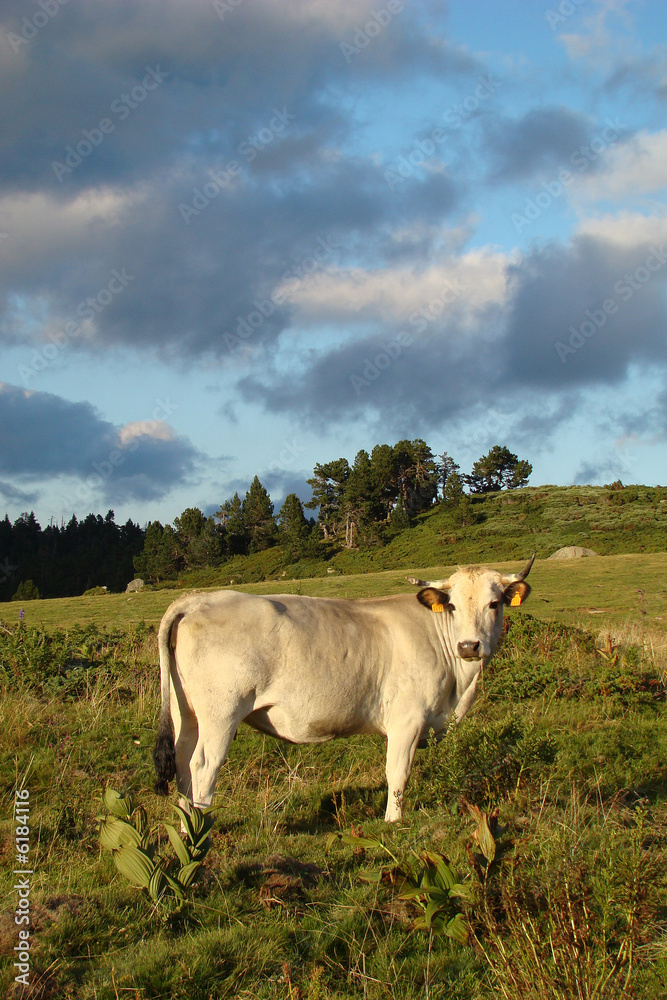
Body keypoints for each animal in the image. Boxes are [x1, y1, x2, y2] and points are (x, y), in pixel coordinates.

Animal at [153, 555, 534, 822]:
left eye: (494, 603)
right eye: (452, 605)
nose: (469, 646)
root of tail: (198, 600)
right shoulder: (407, 719)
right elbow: (397, 772)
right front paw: (393, 822)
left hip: (186, 713)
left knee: (183, 766)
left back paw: (186, 831)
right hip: (221, 714)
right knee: (203, 767)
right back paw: (200, 835)